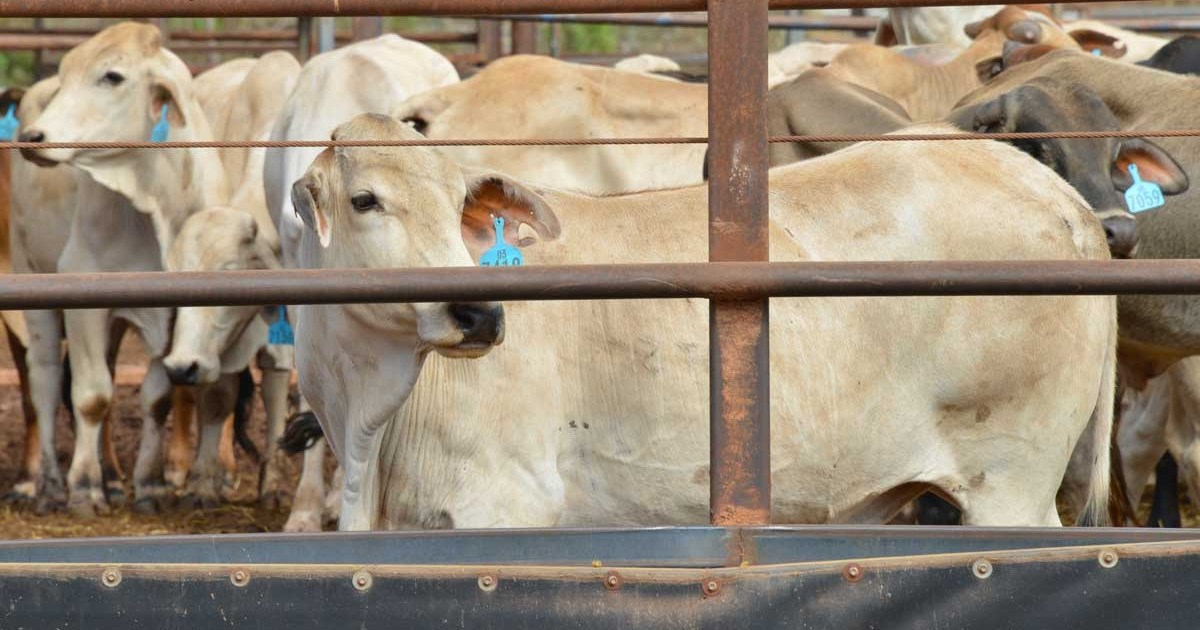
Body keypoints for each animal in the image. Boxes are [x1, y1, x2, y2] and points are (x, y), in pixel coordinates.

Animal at [294, 114, 1114, 531]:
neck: (368, 425)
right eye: (365, 200)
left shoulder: (501, 508)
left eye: (458, 200)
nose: (478, 311)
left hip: (1011, 483)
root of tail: (1058, 196)